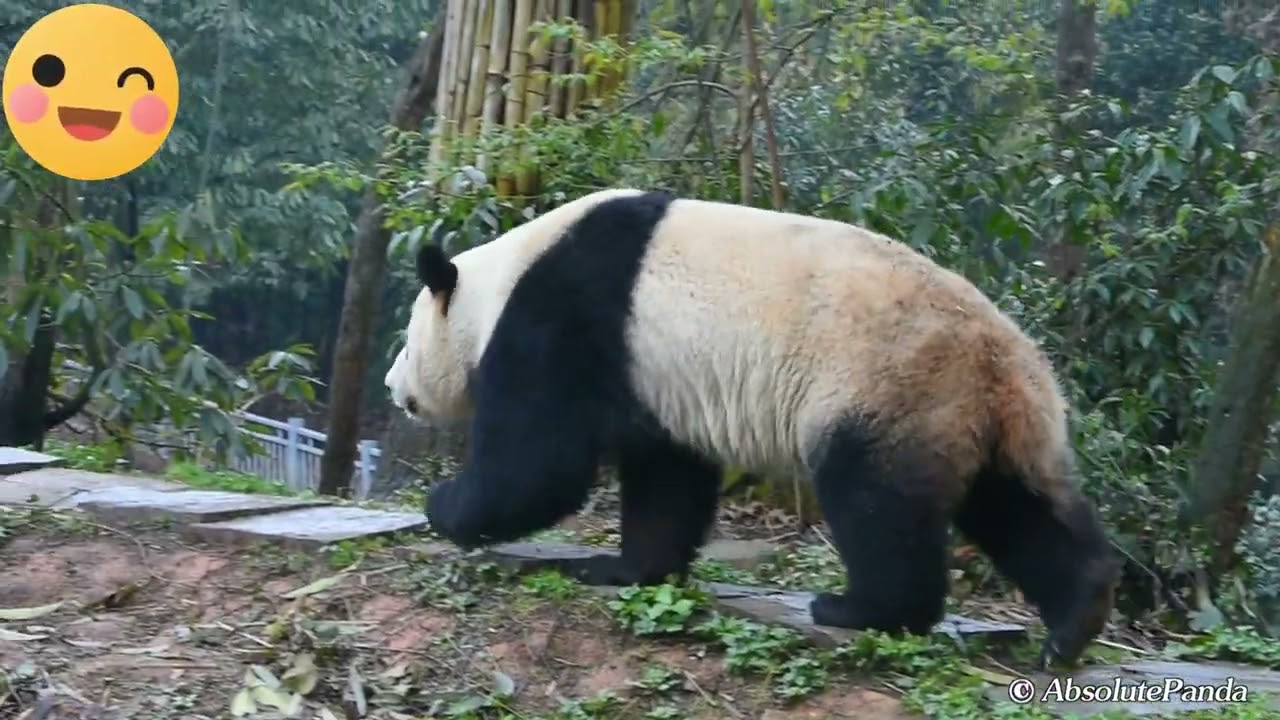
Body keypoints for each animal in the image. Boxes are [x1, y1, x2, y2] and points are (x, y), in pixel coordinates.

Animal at [383, 188, 1119, 667]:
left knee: (877, 503)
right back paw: (1075, 621)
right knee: (1014, 507)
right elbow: (666, 476)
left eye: (407, 341)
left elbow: (539, 464)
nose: (393, 388)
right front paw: (626, 568)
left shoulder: (567, 315)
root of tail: (1007, 364)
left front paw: (444, 507)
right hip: (980, 416)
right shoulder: (652, 375)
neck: (498, 279)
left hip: (891, 383)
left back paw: (861, 610)